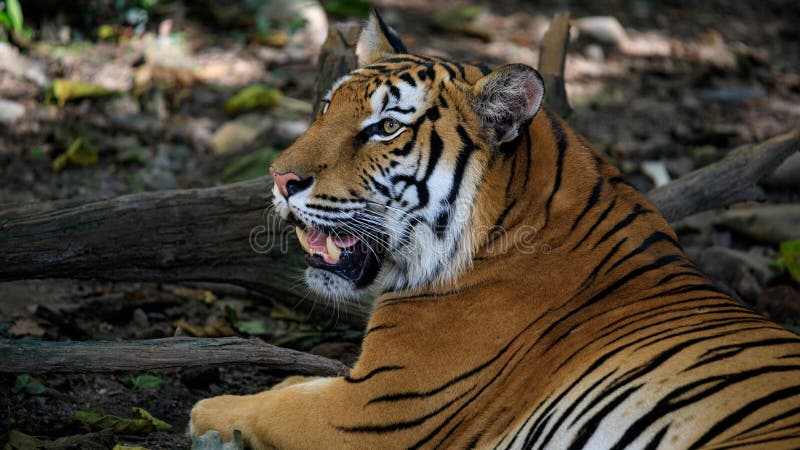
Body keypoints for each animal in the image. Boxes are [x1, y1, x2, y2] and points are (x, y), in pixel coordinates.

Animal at [190, 10, 800, 450]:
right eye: (324, 107)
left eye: (386, 128)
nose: (280, 177)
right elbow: (291, 386)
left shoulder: (373, 409)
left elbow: (267, 404)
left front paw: (209, 412)